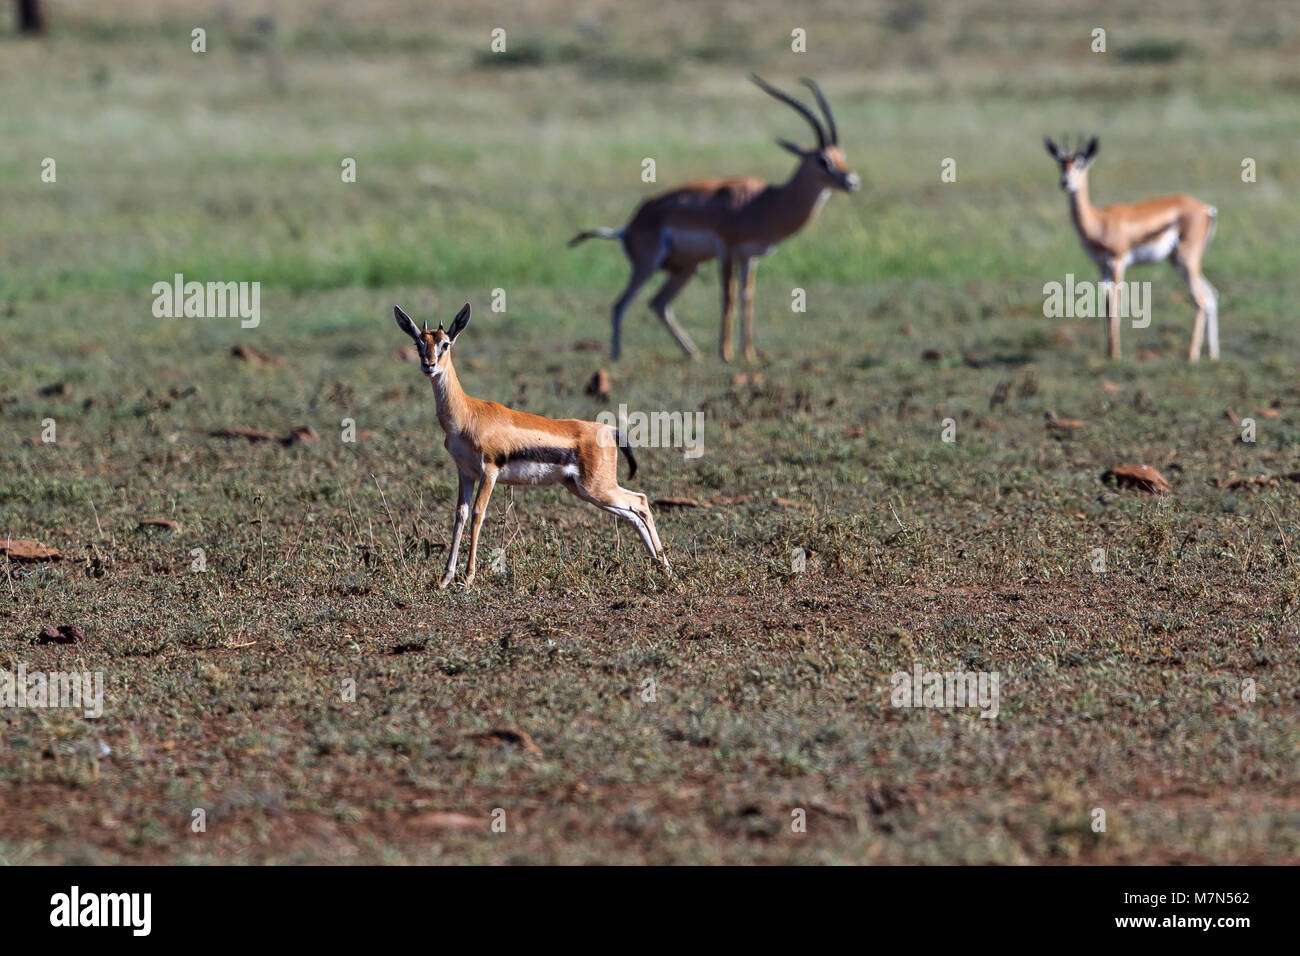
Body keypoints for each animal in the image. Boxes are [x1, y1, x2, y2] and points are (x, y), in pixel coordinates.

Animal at [393, 303, 670, 588]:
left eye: (445, 344)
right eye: (419, 343)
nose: (429, 365)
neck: (467, 413)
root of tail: (609, 430)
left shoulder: (489, 472)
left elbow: (478, 515)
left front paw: (468, 579)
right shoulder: (466, 473)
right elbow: (460, 515)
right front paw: (445, 579)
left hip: (597, 488)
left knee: (640, 501)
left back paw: (667, 570)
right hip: (584, 489)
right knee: (634, 512)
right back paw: (662, 569)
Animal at [570, 75, 859, 362]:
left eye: (842, 157)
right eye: (822, 160)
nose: (852, 181)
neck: (764, 203)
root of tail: (628, 225)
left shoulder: (749, 257)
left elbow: (747, 298)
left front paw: (749, 353)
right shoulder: (726, 251)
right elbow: (728, 297)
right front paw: (726, 353)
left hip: (687, 268)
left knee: (658, 303)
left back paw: (693, 353)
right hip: (648, 265)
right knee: (621, 303)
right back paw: (616, 356)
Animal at [1045, 136, 1219, 362]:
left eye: (1080, 164)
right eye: (1060, 163)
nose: (1065, 183)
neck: (1098, 222)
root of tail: (1206, 209)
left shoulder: (1118, 262)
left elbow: (1116, 306)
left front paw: (1116, 355)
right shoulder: (1102, 267)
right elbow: (1107, 306)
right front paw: (1108, 352)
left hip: (1186, 261)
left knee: (1201, 300)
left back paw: (1192, 356)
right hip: (1179, 262)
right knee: (1211, 296)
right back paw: (1214, 355)